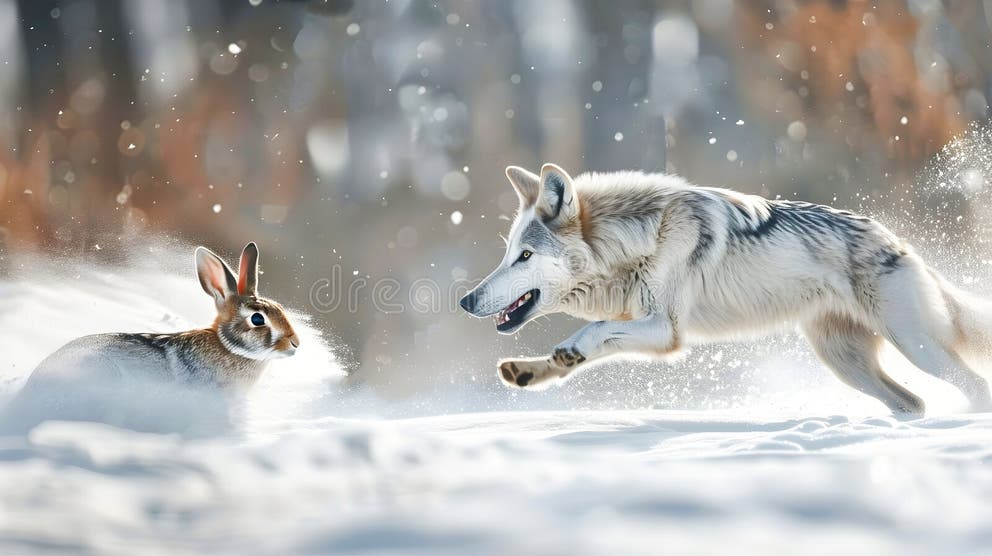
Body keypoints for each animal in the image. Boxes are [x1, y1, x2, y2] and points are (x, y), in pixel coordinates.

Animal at [459, 163, 992, 415]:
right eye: (508, 253)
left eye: (525, 256)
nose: (465, 300)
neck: (641, 238)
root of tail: (899, 242)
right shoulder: (643, 323)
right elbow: (583, 348)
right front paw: (532, 371)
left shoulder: (666, 331)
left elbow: (591, 332)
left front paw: (567, 350)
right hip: (845, 365)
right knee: (913, 403)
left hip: (917, 348)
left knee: (974, 386)